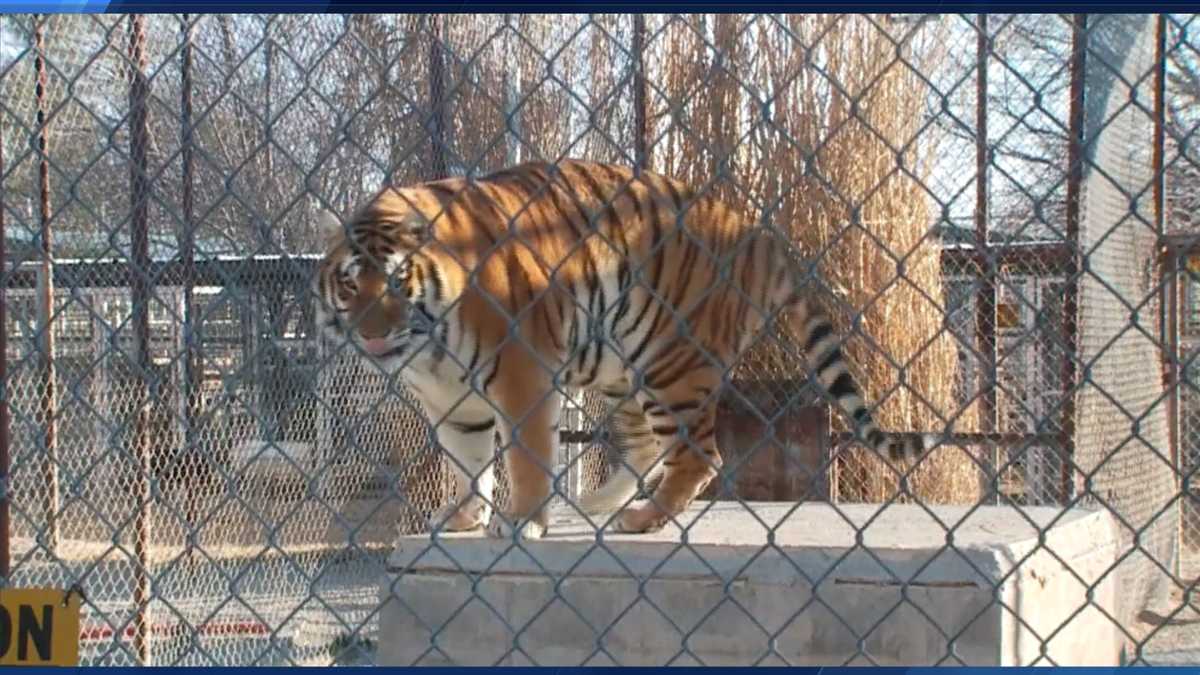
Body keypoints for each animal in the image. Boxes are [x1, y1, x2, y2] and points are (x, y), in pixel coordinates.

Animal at [313, 158, 932, 540]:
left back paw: (642, 519)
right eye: (350, 285)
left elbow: (525, 458)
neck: (428, 346)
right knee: (646, 447)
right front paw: (465, 515)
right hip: (618, 363)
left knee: (699, 454)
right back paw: (600, 504)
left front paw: (522, 521)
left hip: (672, 362)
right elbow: (466, 462)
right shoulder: (449, 401)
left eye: (398, 284)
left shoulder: (522, 377)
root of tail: (755, 230)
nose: (372, 334)